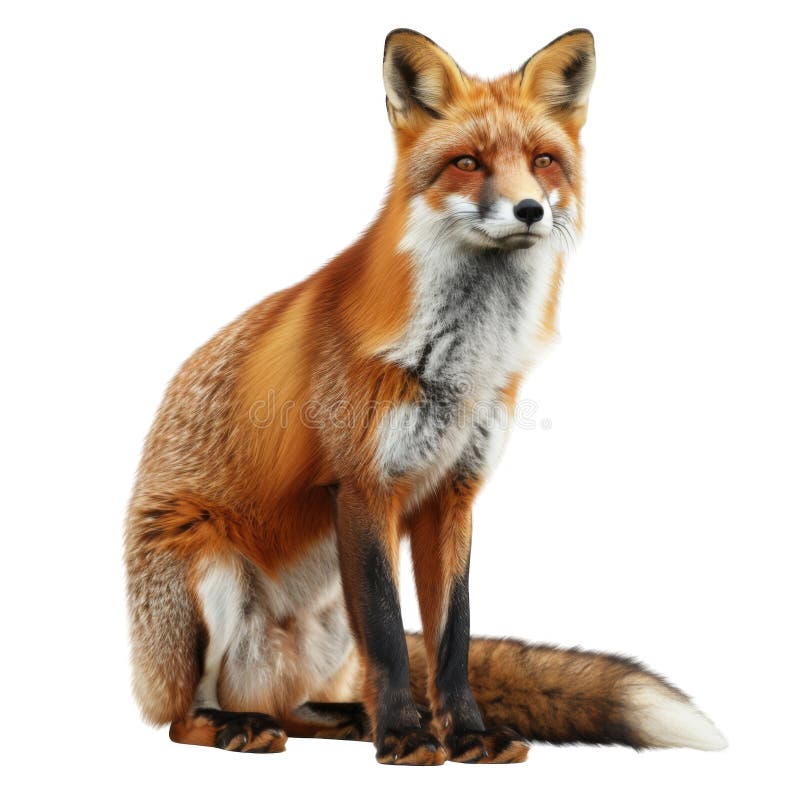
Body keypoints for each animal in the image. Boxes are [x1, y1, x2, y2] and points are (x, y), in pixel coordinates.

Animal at [125, 28, 727, 765]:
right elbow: (390, 633)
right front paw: (406, 735)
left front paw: (464, 733)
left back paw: (342, 718)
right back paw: (237, 726)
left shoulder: (453, 495)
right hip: (206, 571)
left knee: (296, 706)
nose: (530, 210)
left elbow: (451, 638)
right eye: (468, 162)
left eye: (543, 161)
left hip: (328, 624)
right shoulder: (363, 487)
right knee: (183, 717)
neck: (463, 364)